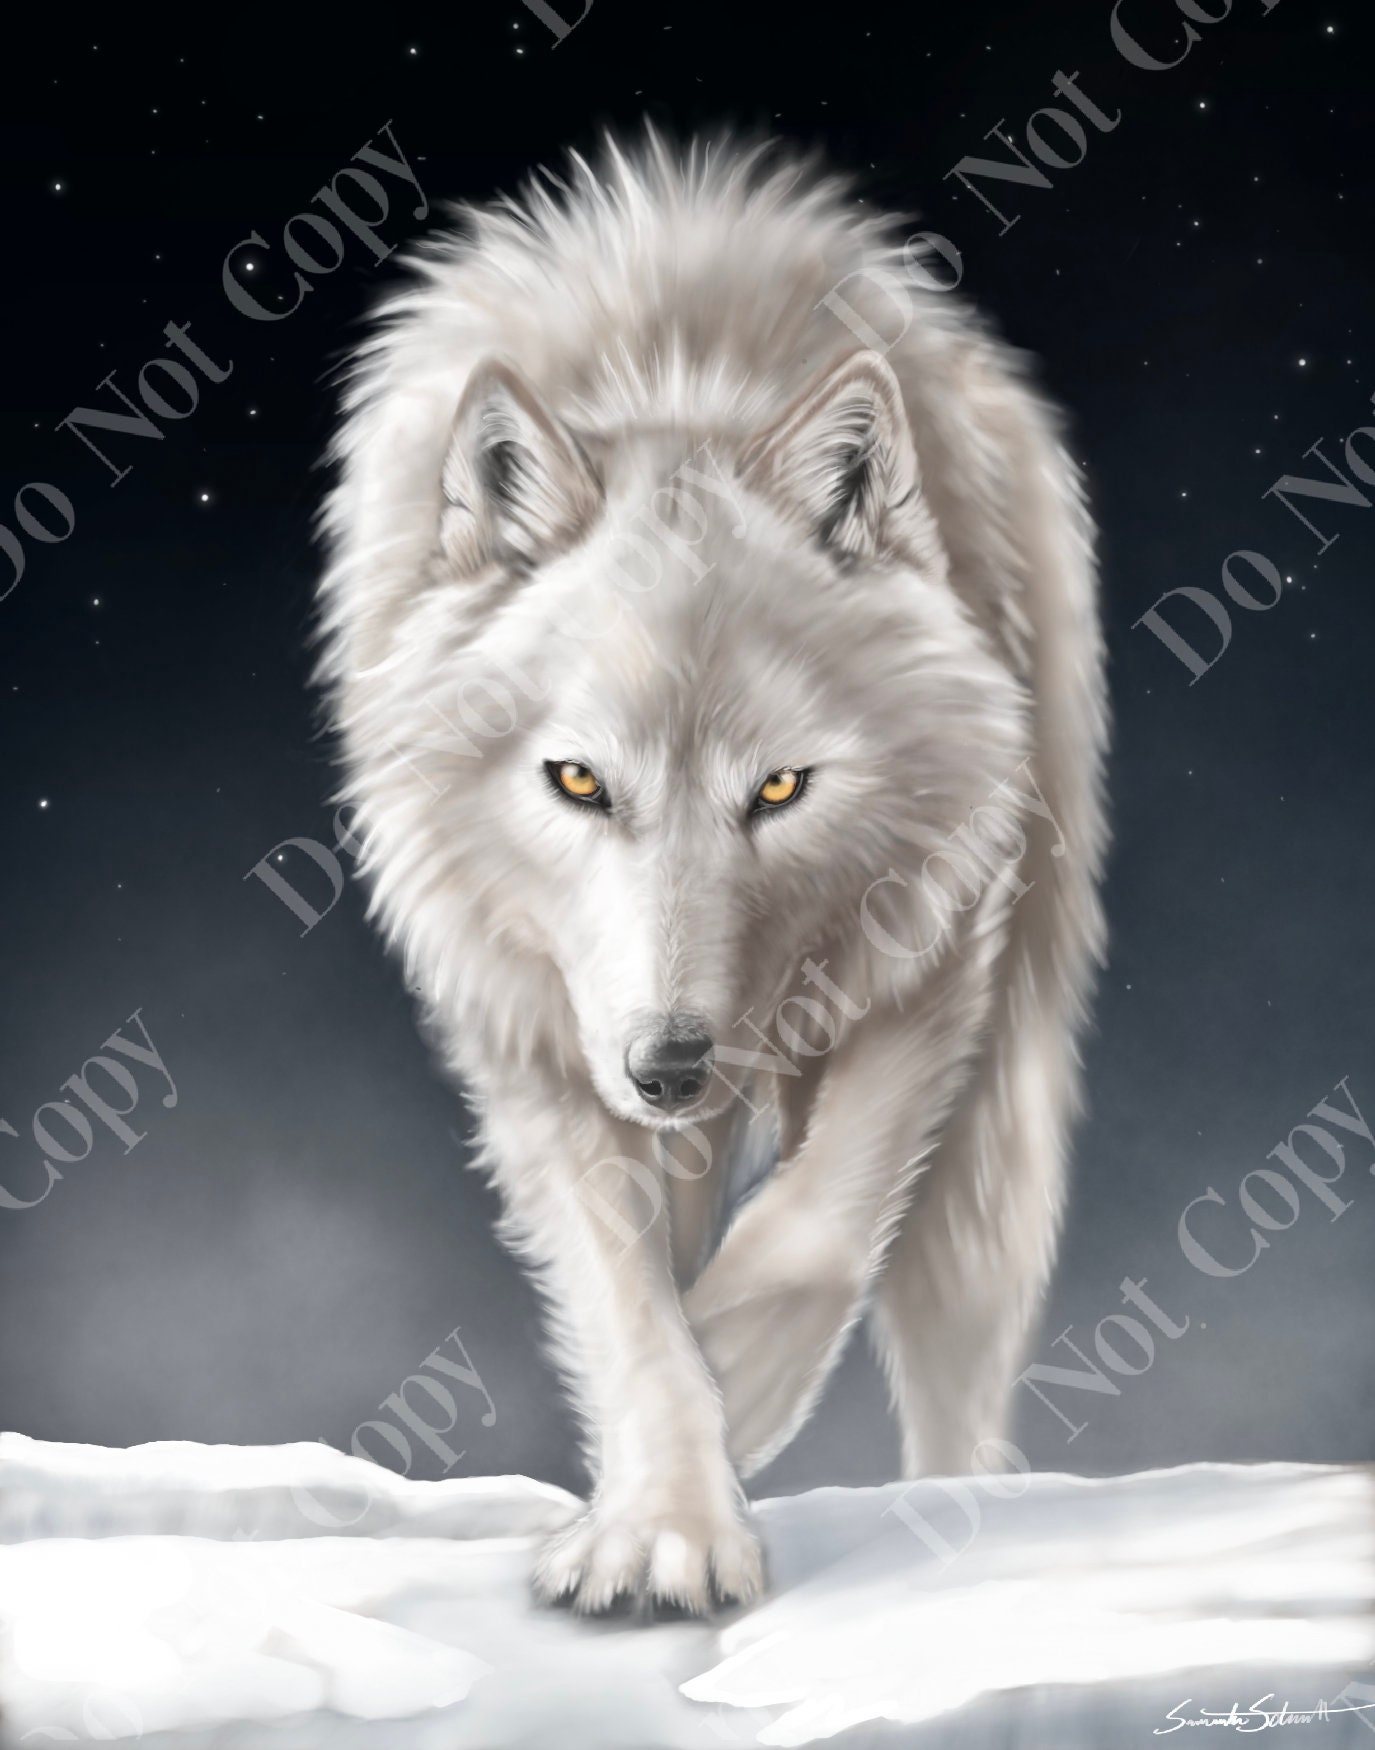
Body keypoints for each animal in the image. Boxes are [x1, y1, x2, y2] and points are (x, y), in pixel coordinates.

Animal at [316, 129, 1107, 1615]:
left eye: (779, 789)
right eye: (578, 781)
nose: (671, 1065)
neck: (673, 379)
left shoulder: (933, 942)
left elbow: (810, 1236)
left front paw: (730, 1389)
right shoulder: (534, 1026)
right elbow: (629, 1308)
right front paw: (663, 1521)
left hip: (1001, 1096)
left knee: (955, 1338)